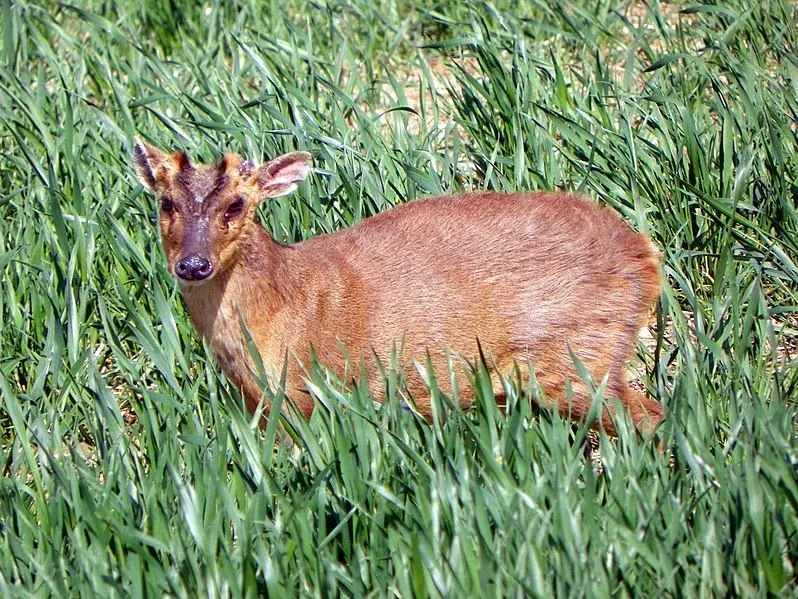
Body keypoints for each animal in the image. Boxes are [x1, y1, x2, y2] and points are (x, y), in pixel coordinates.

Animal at [134, 143, 664, 438]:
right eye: (165, 203)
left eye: (237, 204)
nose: (193, 264)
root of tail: (646, 255)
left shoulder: (301, 391)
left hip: (576, 351)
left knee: (648, 415)